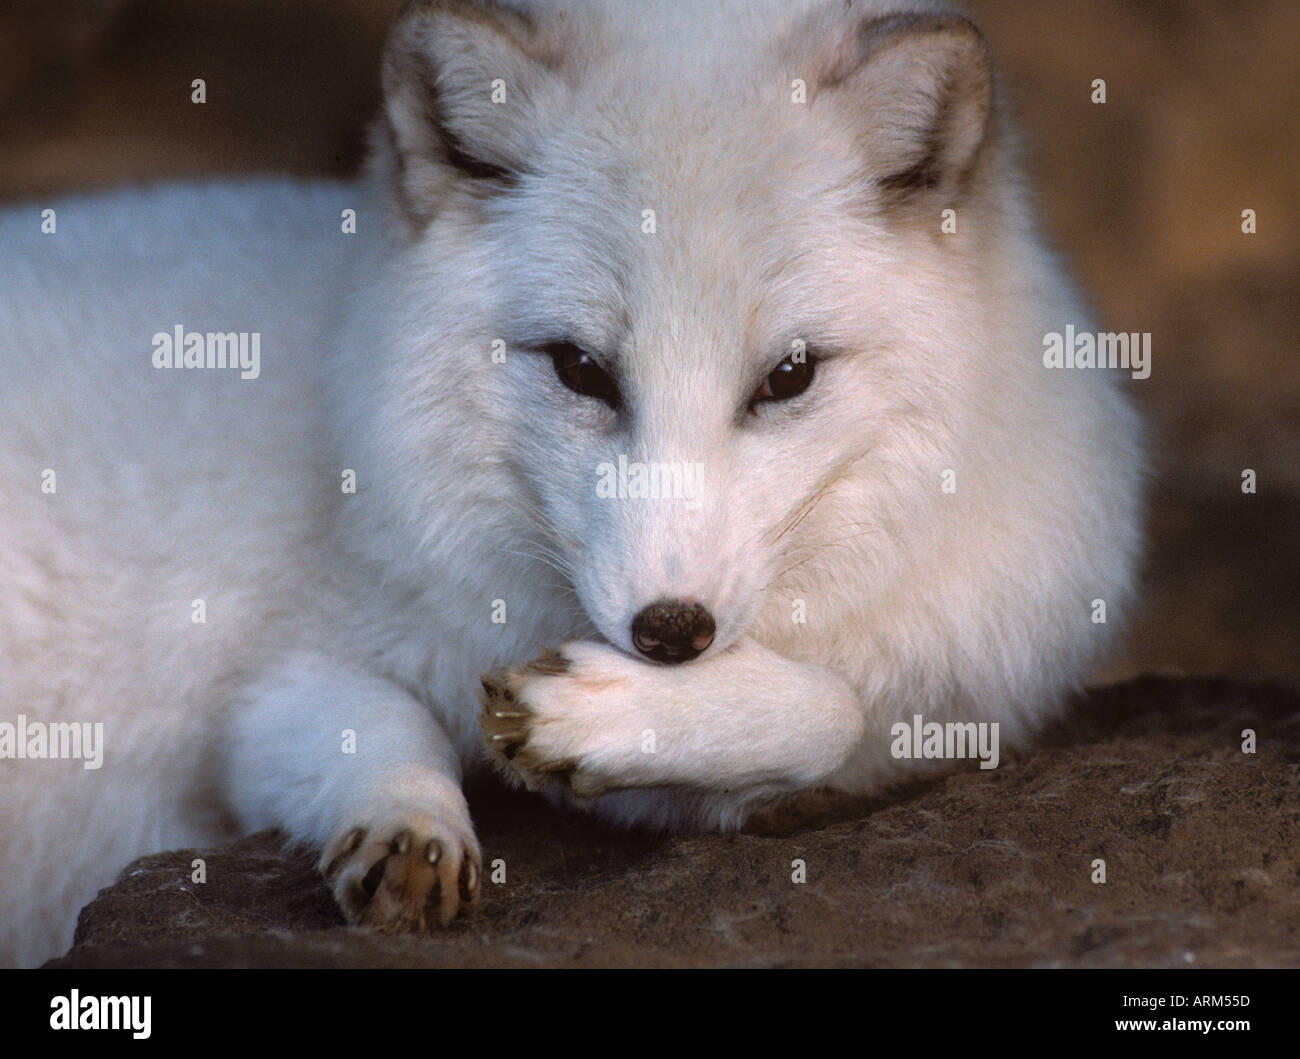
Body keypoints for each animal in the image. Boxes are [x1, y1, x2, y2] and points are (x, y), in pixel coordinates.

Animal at [0, 0, 1144, 966]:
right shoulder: (274, 680)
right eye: (579, 367)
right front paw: (411, 825)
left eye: (788, 377)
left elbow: (833, 710)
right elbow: (375, 728)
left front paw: (607, 717)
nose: (669, 630)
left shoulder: (951, 697)